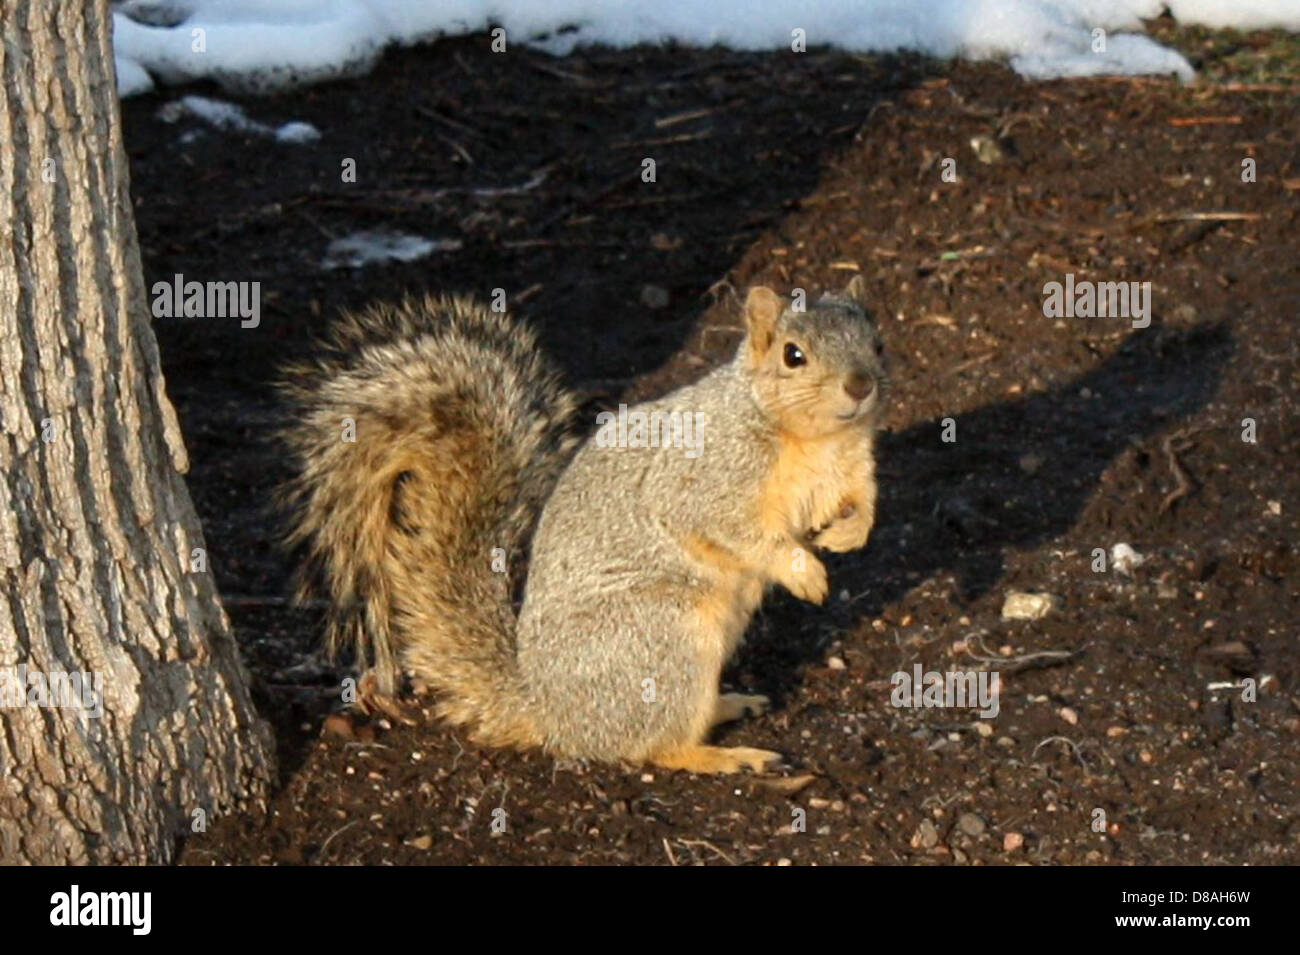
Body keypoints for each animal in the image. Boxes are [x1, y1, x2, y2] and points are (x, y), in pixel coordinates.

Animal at [280, 277, 886, 774]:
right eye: (793, 355)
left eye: (878, 342)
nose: (862, 385)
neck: (814, 439)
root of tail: (548, 710)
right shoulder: (704, 474)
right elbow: (723, 524)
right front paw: (803, 570)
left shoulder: (853, 468)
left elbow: (864, 508)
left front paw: (843, 536)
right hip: (663, 634)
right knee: (649, 744)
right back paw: (723, 756)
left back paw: (730, 703)